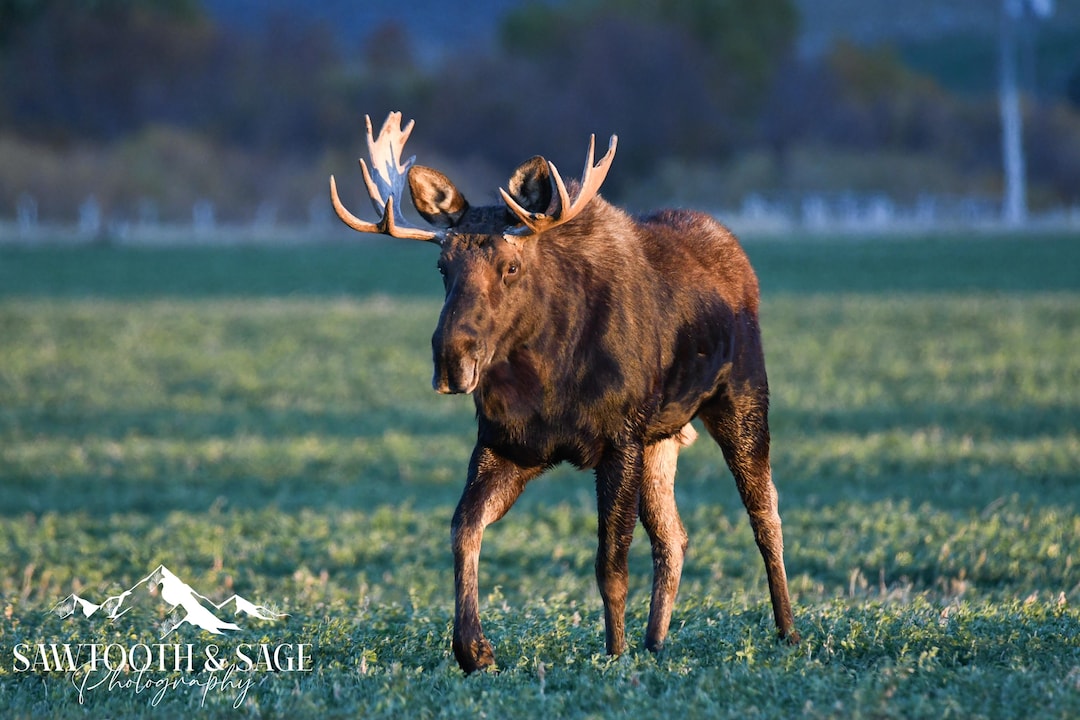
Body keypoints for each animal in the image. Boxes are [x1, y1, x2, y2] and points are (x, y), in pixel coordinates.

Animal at [330, 112, 799, 673]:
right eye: (442, 267)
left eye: (511, 266)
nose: (452, 359)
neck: (547, 376)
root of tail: (737, 254)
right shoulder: (507, 443)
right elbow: (463, 528)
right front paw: (474, 649)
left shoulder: (619, 440)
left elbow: (610, 564)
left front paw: (614, 656)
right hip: (663, 436)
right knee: (674, 537)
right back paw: (656, 641)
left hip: (742, 400)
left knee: (766, 515)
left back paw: (788, 631)